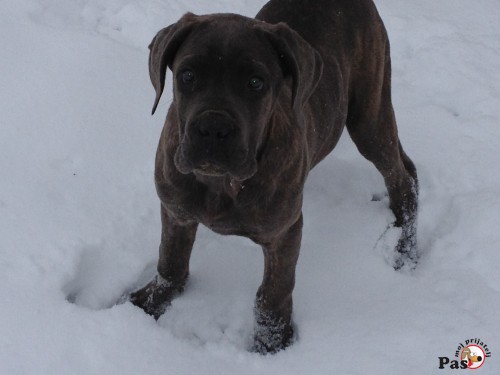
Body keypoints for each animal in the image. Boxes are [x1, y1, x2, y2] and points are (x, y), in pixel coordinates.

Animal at [130, 0, 418, 354]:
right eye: (187, 75)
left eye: (256, 83)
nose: (213, 128)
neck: (221, 185)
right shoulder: (176, 212)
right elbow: (170, 262)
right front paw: (149, 303)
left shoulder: (285, 232)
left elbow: (273, 293)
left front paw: (271, 343)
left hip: (369, 117)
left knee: (403, 177)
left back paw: (404, 251)